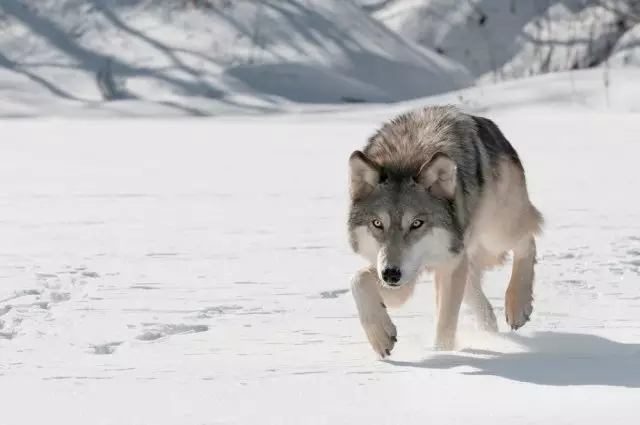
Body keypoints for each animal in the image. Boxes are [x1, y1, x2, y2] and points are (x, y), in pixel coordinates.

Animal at [348, 104, 544, 356]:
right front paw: (380, 336)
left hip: (497, 234)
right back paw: (489, 329)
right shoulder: (402, 276)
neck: (406, 157)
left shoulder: (445, 265)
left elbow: (446, 324)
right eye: (377, 223)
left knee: (528, 241)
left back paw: (517, 306)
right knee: (474, 290)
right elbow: (358, 279)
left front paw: (443, 356)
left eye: (417, 223)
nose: (391, 274)